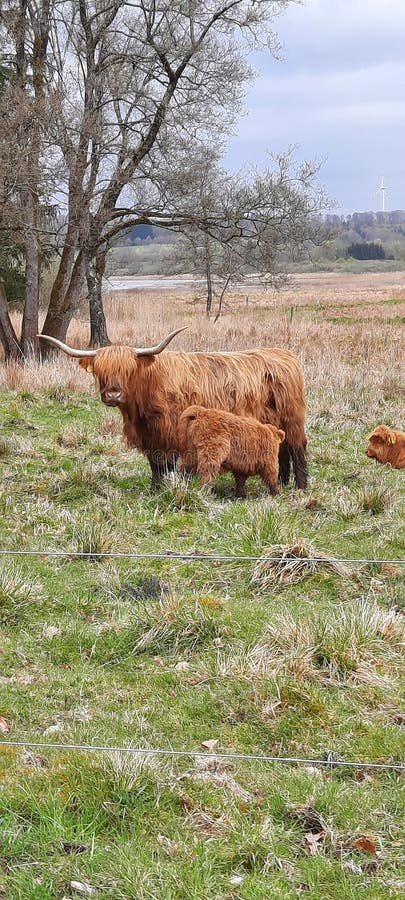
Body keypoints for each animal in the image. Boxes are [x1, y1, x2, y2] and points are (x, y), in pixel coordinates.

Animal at [39, 328, 308, 489]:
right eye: (100, 371)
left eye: (128, 370)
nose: (113, 394)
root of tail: (283, 354)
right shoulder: (150, 436)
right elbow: (154, 464)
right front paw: (154, 487)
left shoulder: (168, 433)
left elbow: (166, 463)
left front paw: (167, 487)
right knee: (282, 450)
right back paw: (283, 481)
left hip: (293, 419)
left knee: (297, 448)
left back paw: (299, 486)